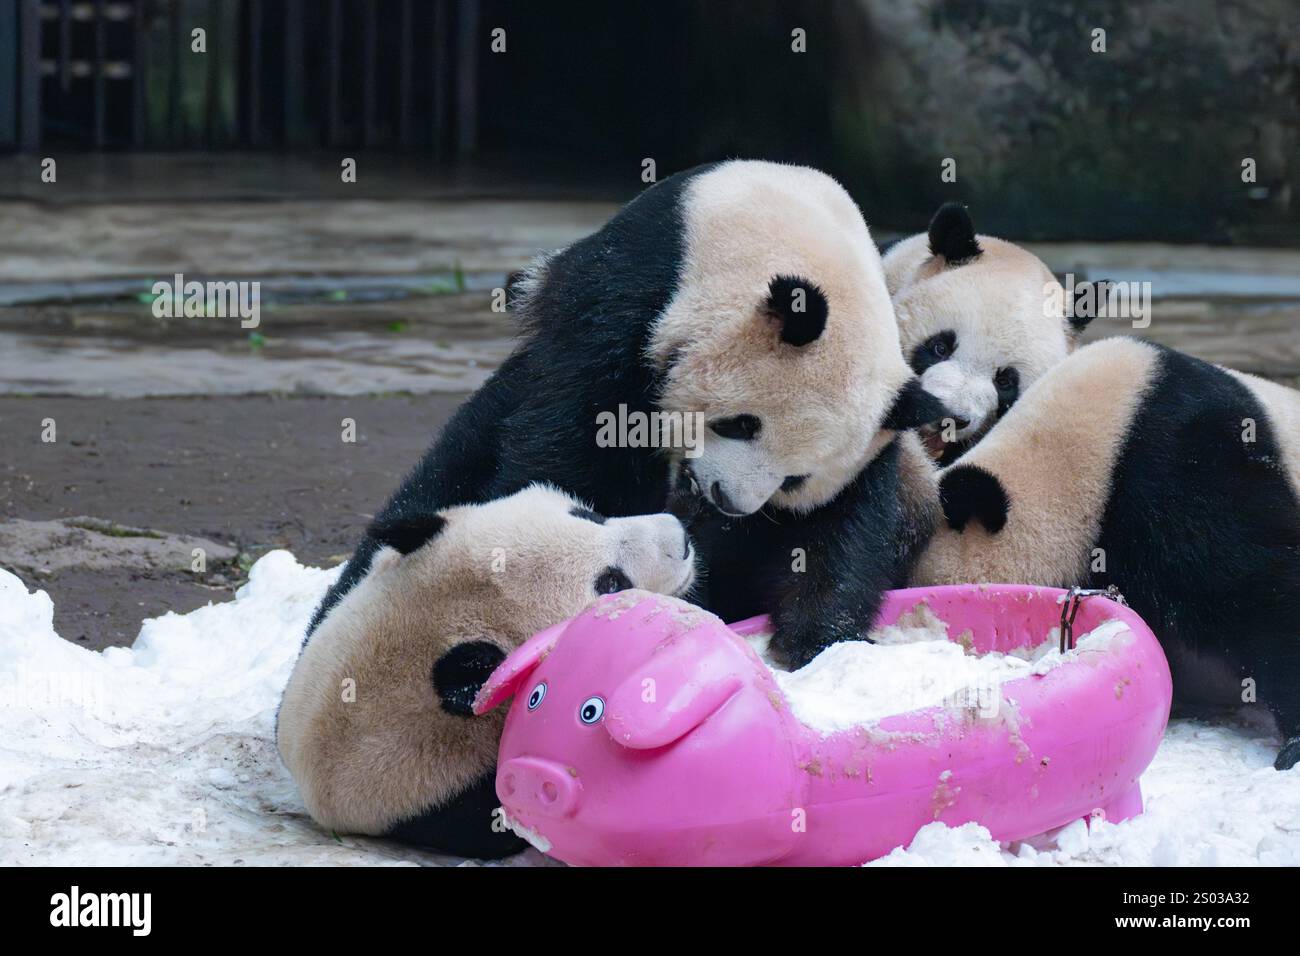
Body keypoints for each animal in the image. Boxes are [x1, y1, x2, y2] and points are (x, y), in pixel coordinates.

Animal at [309, 160, 947, 670]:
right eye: (740, 423)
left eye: (794, 478)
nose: (729, 499)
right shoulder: (625, 303)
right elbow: (573, 445)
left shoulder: (875, 438)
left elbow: (840, 525)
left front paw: (818, 644)